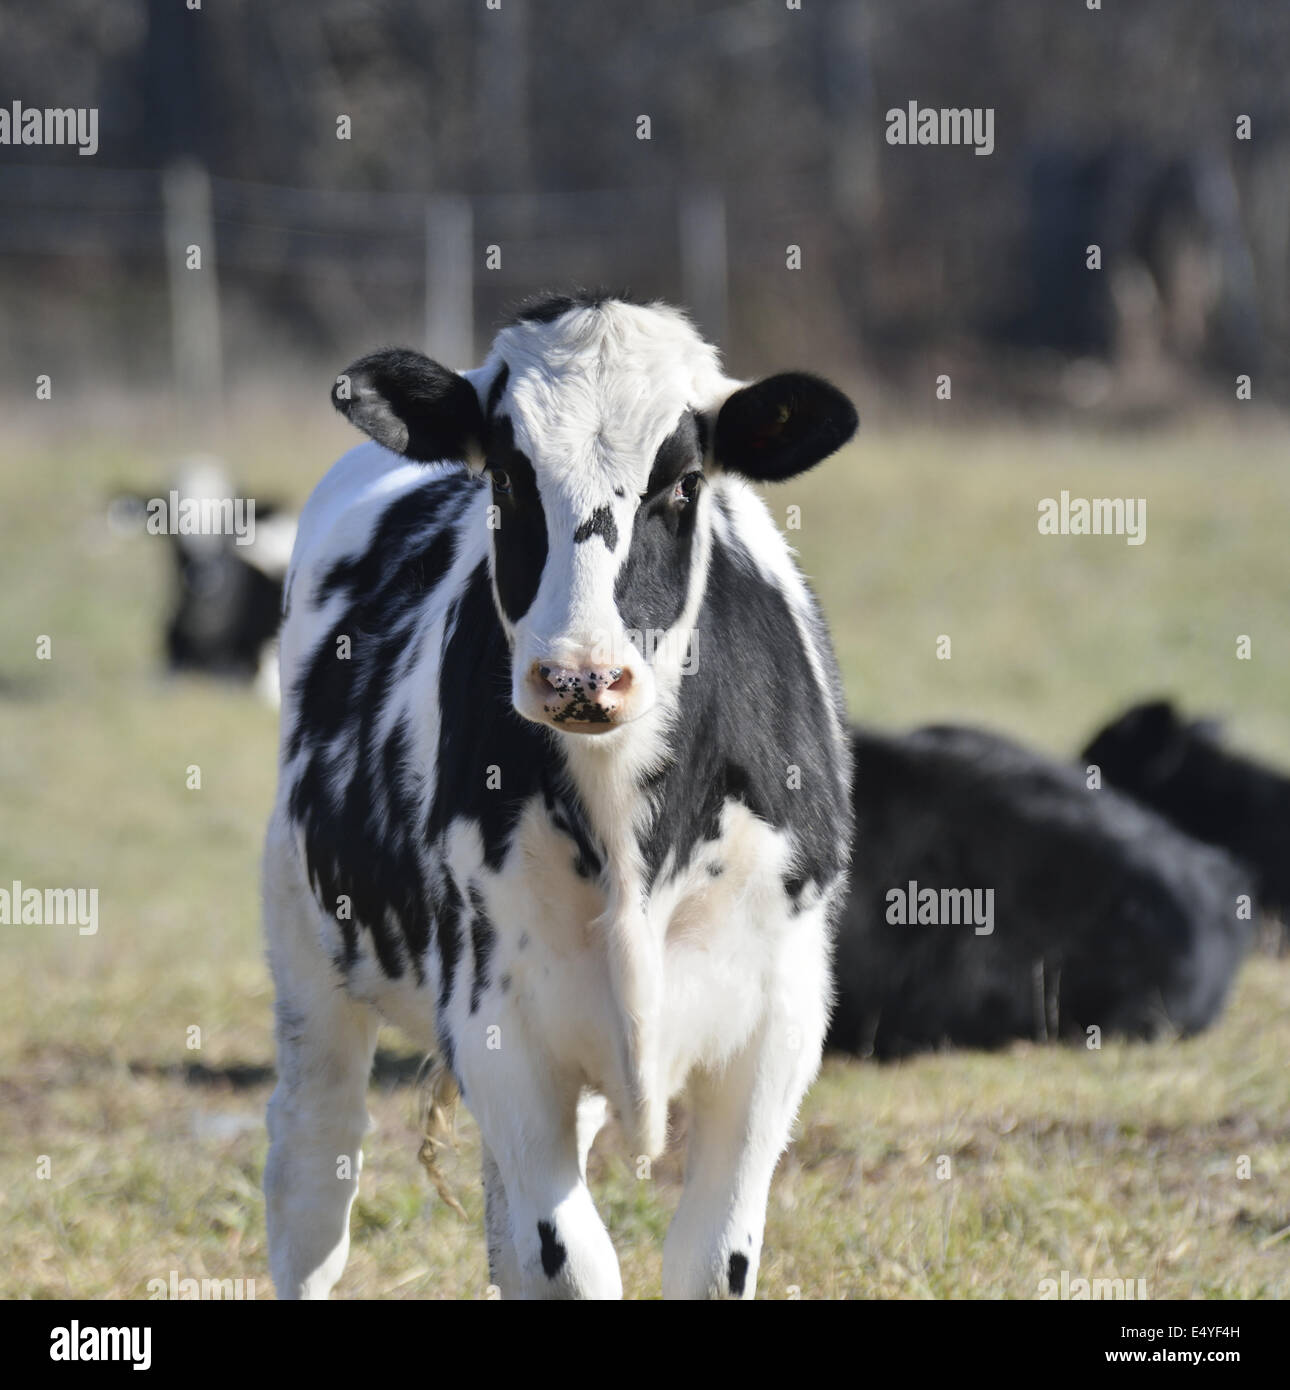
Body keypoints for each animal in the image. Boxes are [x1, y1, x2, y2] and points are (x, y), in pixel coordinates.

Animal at [262, 292, 858, 1300]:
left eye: (683, 483)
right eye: (506, 478)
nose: (582, 676)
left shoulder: (774, 1023)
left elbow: (709, 1258)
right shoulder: (499, 1021)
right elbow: (569, 1259)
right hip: (309, 957)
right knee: (312, 1177)